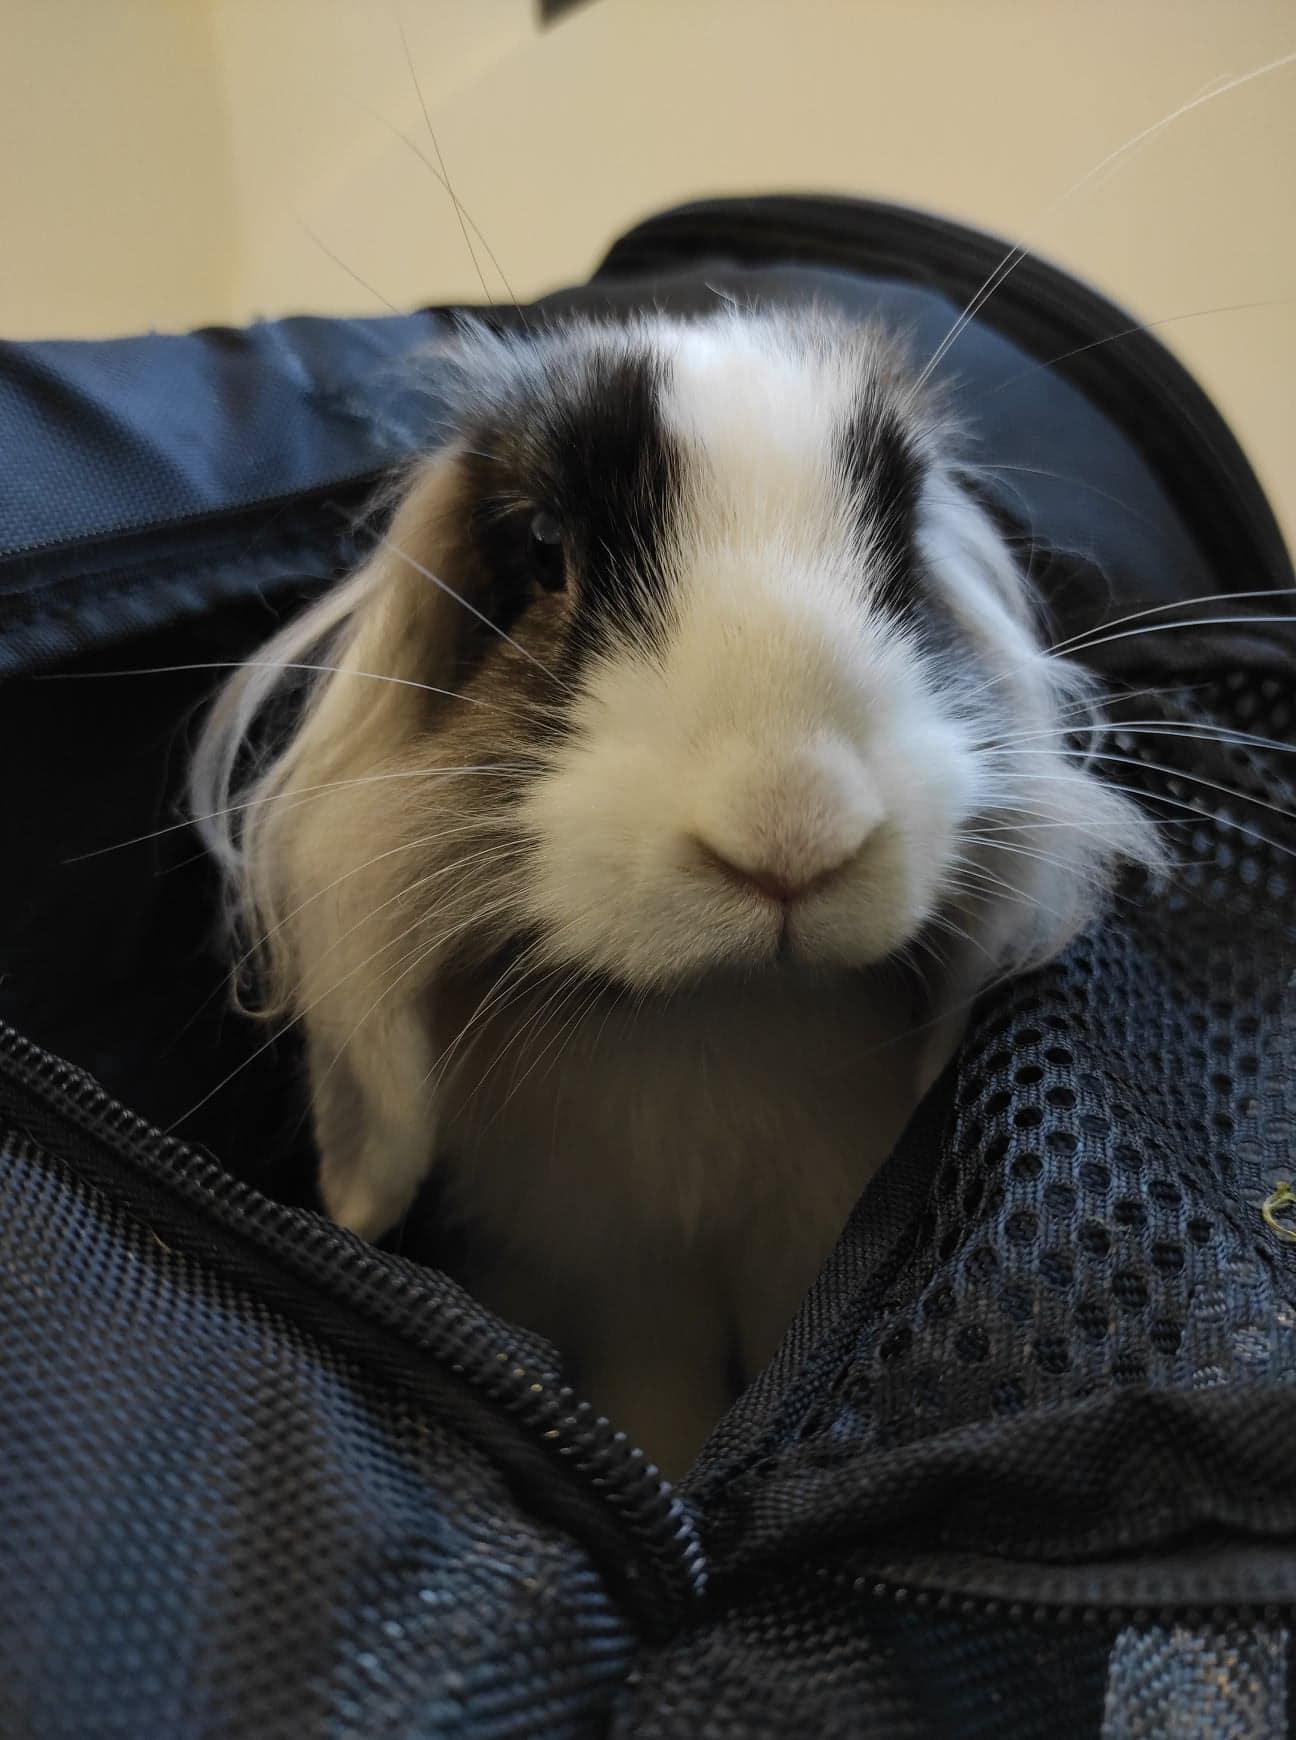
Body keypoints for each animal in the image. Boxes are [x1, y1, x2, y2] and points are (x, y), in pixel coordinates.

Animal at [191, 306, 1163, 1475]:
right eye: (544, 548)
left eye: (900, 548)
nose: (791, 829)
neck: (712, 1012)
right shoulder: (617, 1293)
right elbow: (648, 1401)